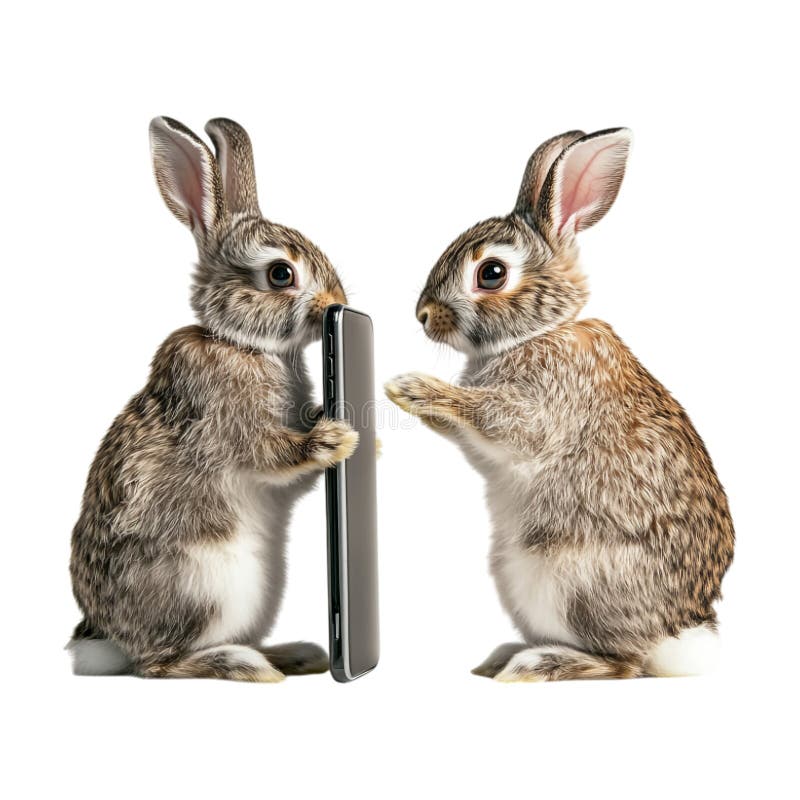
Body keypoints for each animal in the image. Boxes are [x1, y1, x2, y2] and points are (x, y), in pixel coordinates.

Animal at [68, 117, 357, 681]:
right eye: (281, 274)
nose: (337, 305)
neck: (242, 343)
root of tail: (112, 642)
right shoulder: (228, 420)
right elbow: (270, 454)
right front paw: (337, 438)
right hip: (205, 587)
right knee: (159, 665)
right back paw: (243, 666)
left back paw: (294, 654)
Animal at [385, 129, 734, 681]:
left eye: (491, 273)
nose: (423, 315)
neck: (537, 333)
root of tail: (676, 637)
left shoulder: (545, 403)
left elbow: (502, 421)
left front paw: (413, 387)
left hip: (575, 583)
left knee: (624, 664)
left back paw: (535, 665)